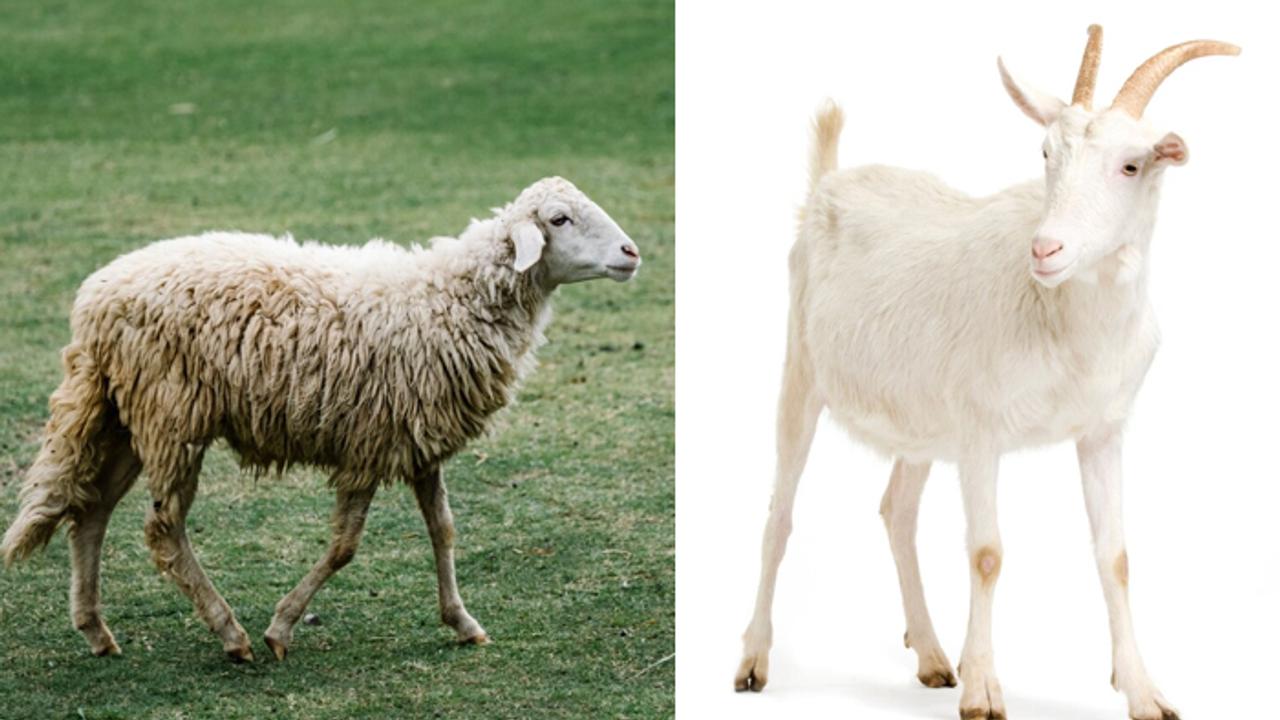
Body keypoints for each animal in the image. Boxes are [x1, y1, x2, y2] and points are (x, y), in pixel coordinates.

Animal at [1, 175, 642, 663]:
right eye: (559, 219)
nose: (632, 253)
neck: (449, 298)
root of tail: (93, 298)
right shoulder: (368, 444)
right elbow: (344, 548)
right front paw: (280, 628)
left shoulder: (417, 440)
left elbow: (443, 529)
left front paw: (462, 621)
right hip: (171, 414)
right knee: (162, 530)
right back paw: (231, 634)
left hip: (129, 416)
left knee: (91, 513)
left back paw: (97, 631)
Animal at [733, 26, 1236, 720]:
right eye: (1046, 151)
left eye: (1132, 165)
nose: (1046, 250)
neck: (1064, 319)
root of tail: (828, 183)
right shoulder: (979, 431)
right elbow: (988, 553)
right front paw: (983, 692)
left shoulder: (1102, 430)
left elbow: (1116, 557)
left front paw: (1144, 692)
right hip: (801, 373)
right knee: (779, 515)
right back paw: (754, 662)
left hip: (917, 420)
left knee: (897, 510)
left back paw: (932, 656)